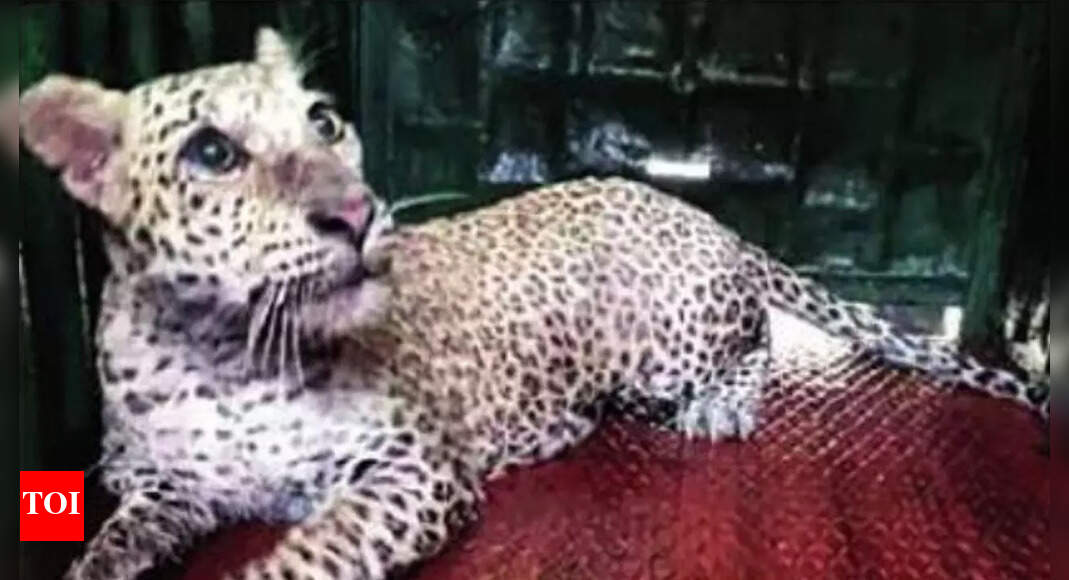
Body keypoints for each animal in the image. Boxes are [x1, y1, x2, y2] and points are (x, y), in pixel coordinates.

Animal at [17, 28, 1048, 580]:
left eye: (324, 121)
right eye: (212, 153)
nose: (357, 213)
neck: (222, 353)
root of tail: (690, 208)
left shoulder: (412, 473)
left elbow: (315, 548)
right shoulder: (160, 488)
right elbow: (109, 546)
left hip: (674, 332)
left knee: (753, 335)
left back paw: (716, 406)